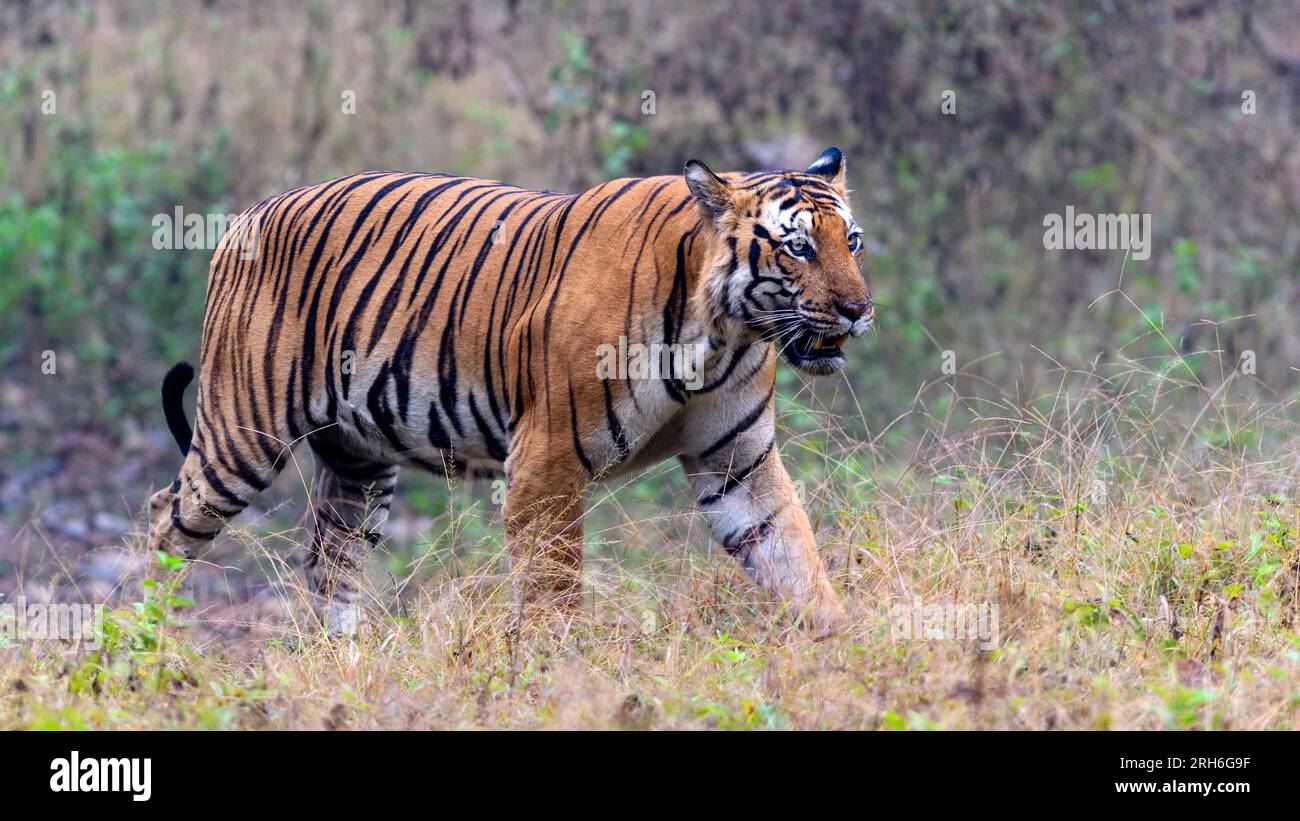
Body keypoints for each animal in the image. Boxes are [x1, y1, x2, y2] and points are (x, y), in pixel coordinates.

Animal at [148, 146, 873, 636]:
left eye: (852, 241)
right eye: (798, 249)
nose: (859, 310)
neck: (721, 336)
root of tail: (252, 212)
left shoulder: (738, 463)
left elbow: (795, 557)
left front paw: (842, 649)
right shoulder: (545, 465)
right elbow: (555, 593)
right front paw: (562, 679)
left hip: (358, 464)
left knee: (331, 565)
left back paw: (343, 667)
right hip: (242, 435)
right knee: (166, 521)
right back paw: (146, 651)